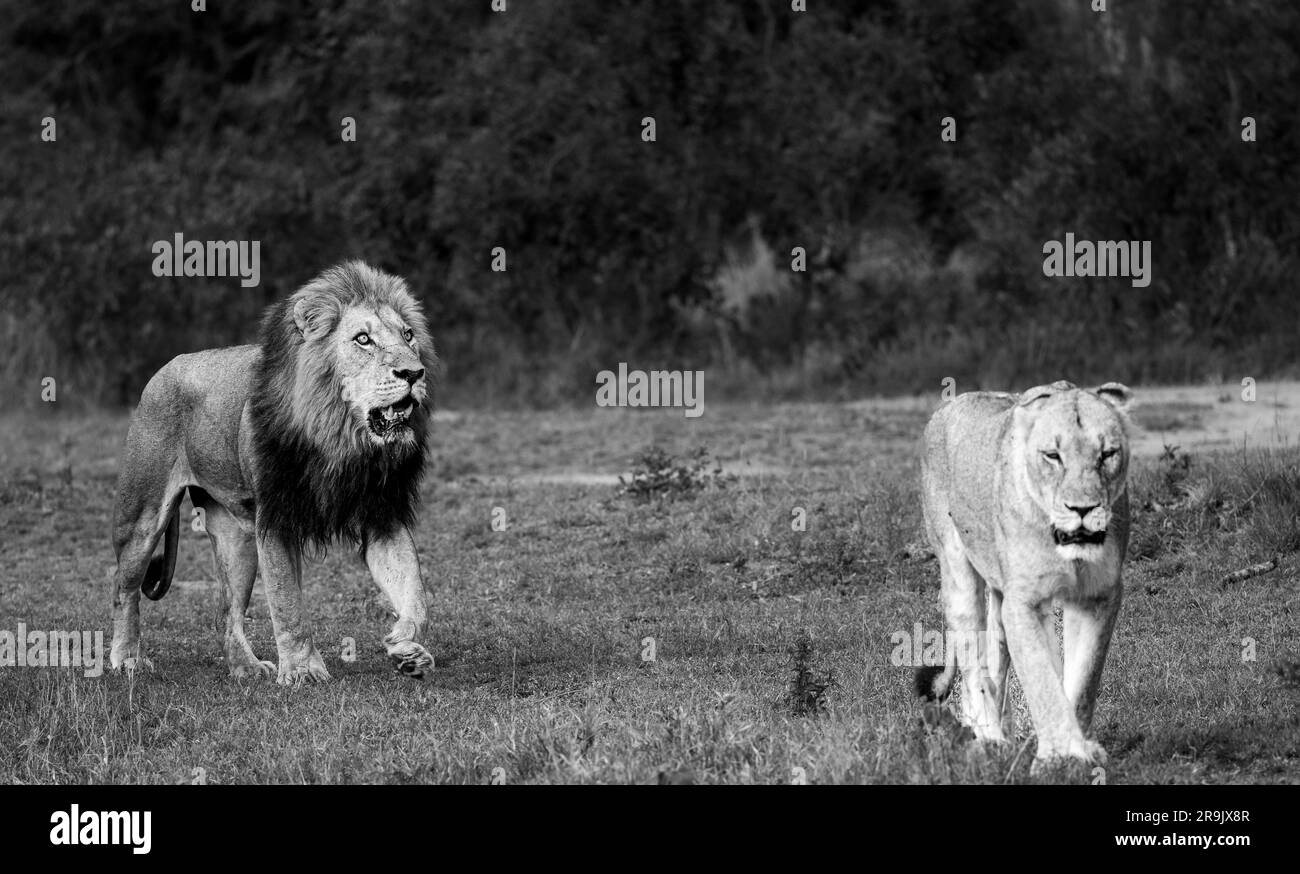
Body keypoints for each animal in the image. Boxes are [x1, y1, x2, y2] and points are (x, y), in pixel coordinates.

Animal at [108, 261, 437, 683]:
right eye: (363, 339)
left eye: (408, 335)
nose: (414, 373)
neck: (343, 440)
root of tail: (165, 367)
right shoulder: (277, 517)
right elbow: (287, 603)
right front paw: (302, 670)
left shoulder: (383, 514)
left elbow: (415, 595)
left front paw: (406, 648)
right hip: (144, 515)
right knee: (124, 587)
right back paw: (126, 658)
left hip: (236, 536)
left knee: (225, 613)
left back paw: (246, 668)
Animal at [915, 380, 1133, 765]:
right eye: (1053, 456)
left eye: (1107, 454)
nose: (1082, 509)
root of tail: (948, 405)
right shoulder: (1025, 602)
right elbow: (1042, 680)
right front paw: (1060, 757)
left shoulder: (1098, 595)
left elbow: (1082, 679)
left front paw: (1080, 748)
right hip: (957, 572)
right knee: (973, 666)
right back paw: (991, 739)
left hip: (1000, 595)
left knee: (994, 665)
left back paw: (1003, 733)